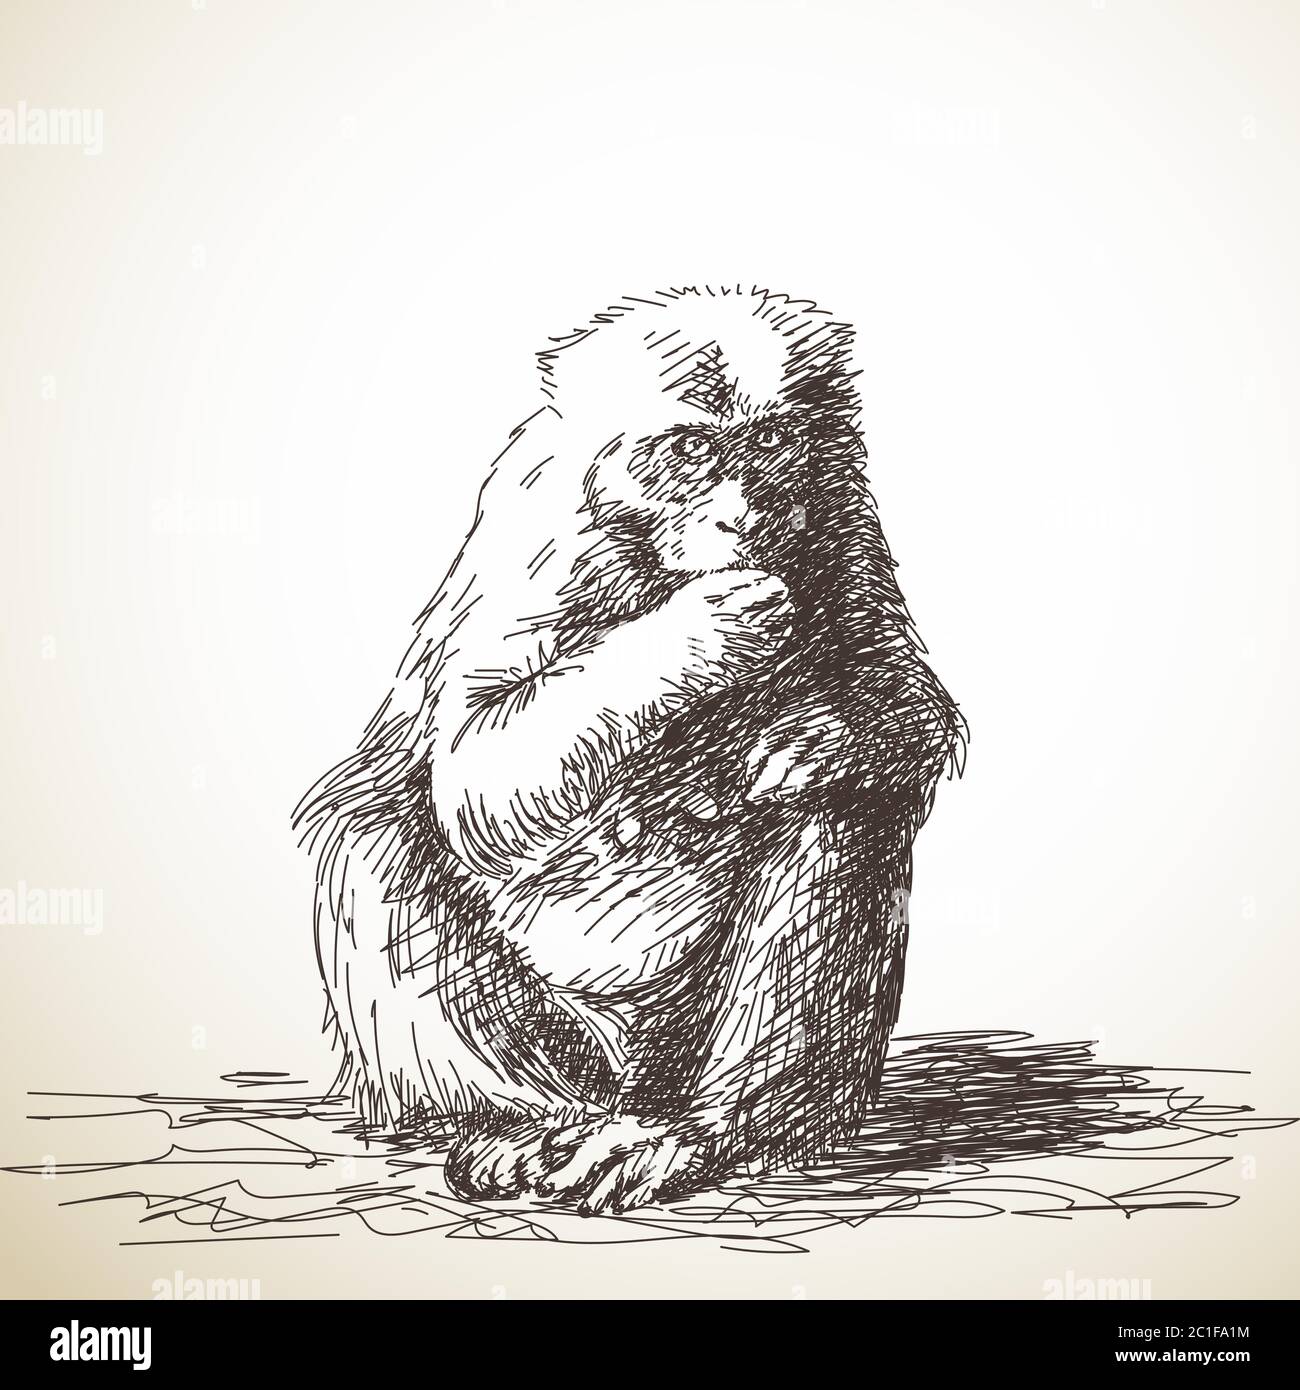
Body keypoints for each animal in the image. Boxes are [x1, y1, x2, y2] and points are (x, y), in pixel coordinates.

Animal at [294, 286, 966, 1214]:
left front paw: (821, 732)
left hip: (677, 1048)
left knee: (838, 806)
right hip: (561, 1037)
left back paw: (712, 1128)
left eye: (770, 443)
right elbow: (472, 773)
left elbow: (898, 692)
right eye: (689, 450)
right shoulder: (538, 522)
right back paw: (528, 1122)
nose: (745, 515)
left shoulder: (842, 506)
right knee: (369, 836)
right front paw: (695, 635)